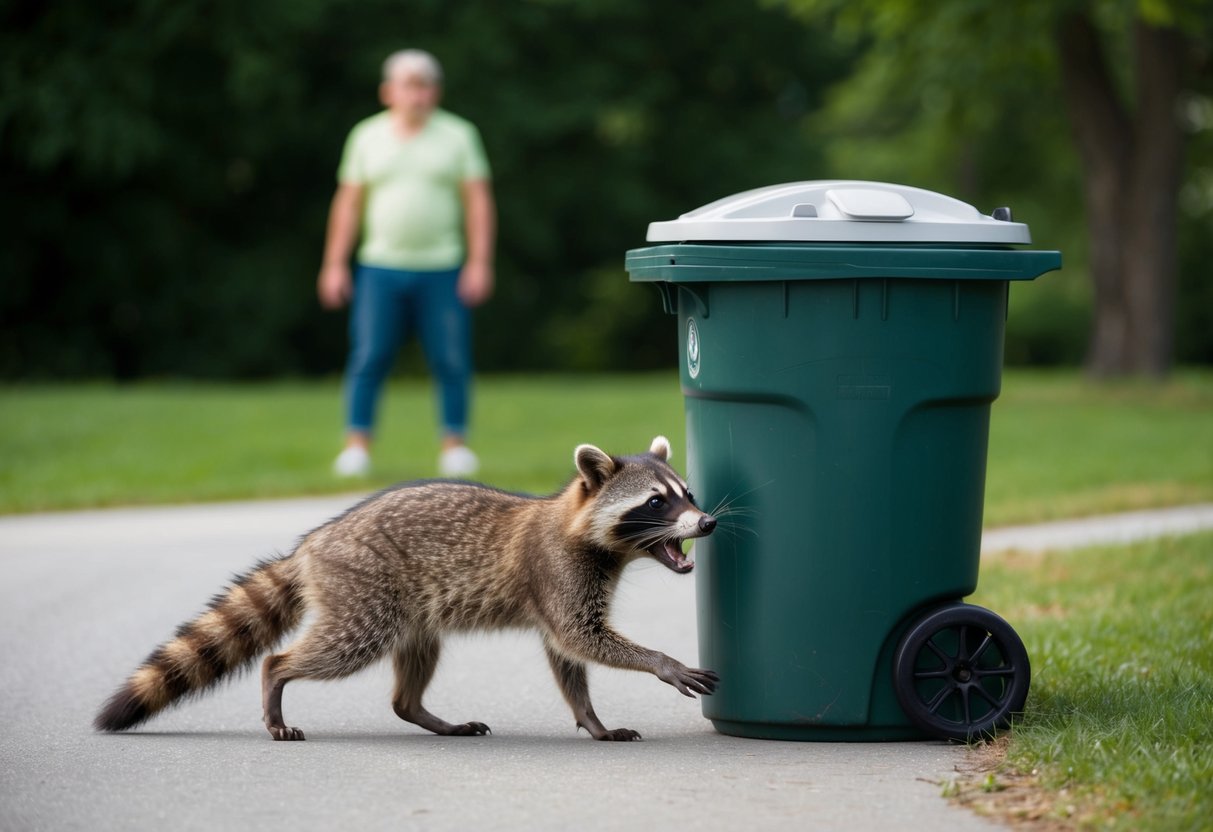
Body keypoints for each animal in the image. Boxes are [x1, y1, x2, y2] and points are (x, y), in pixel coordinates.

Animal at [94, 436, 718, 742]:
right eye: (656, 502)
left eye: (687, 494)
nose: (707, 522)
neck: (578, 519)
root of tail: (311, 545)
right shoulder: (557, 570)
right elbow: (581, 638)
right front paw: (661, 662)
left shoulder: (565, 588)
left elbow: (566, 655)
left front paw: (591, 720)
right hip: (362, 594)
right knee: (325, 651)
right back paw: (277, 677)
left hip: (409, 609)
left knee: (414, 664)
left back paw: (420, 711)